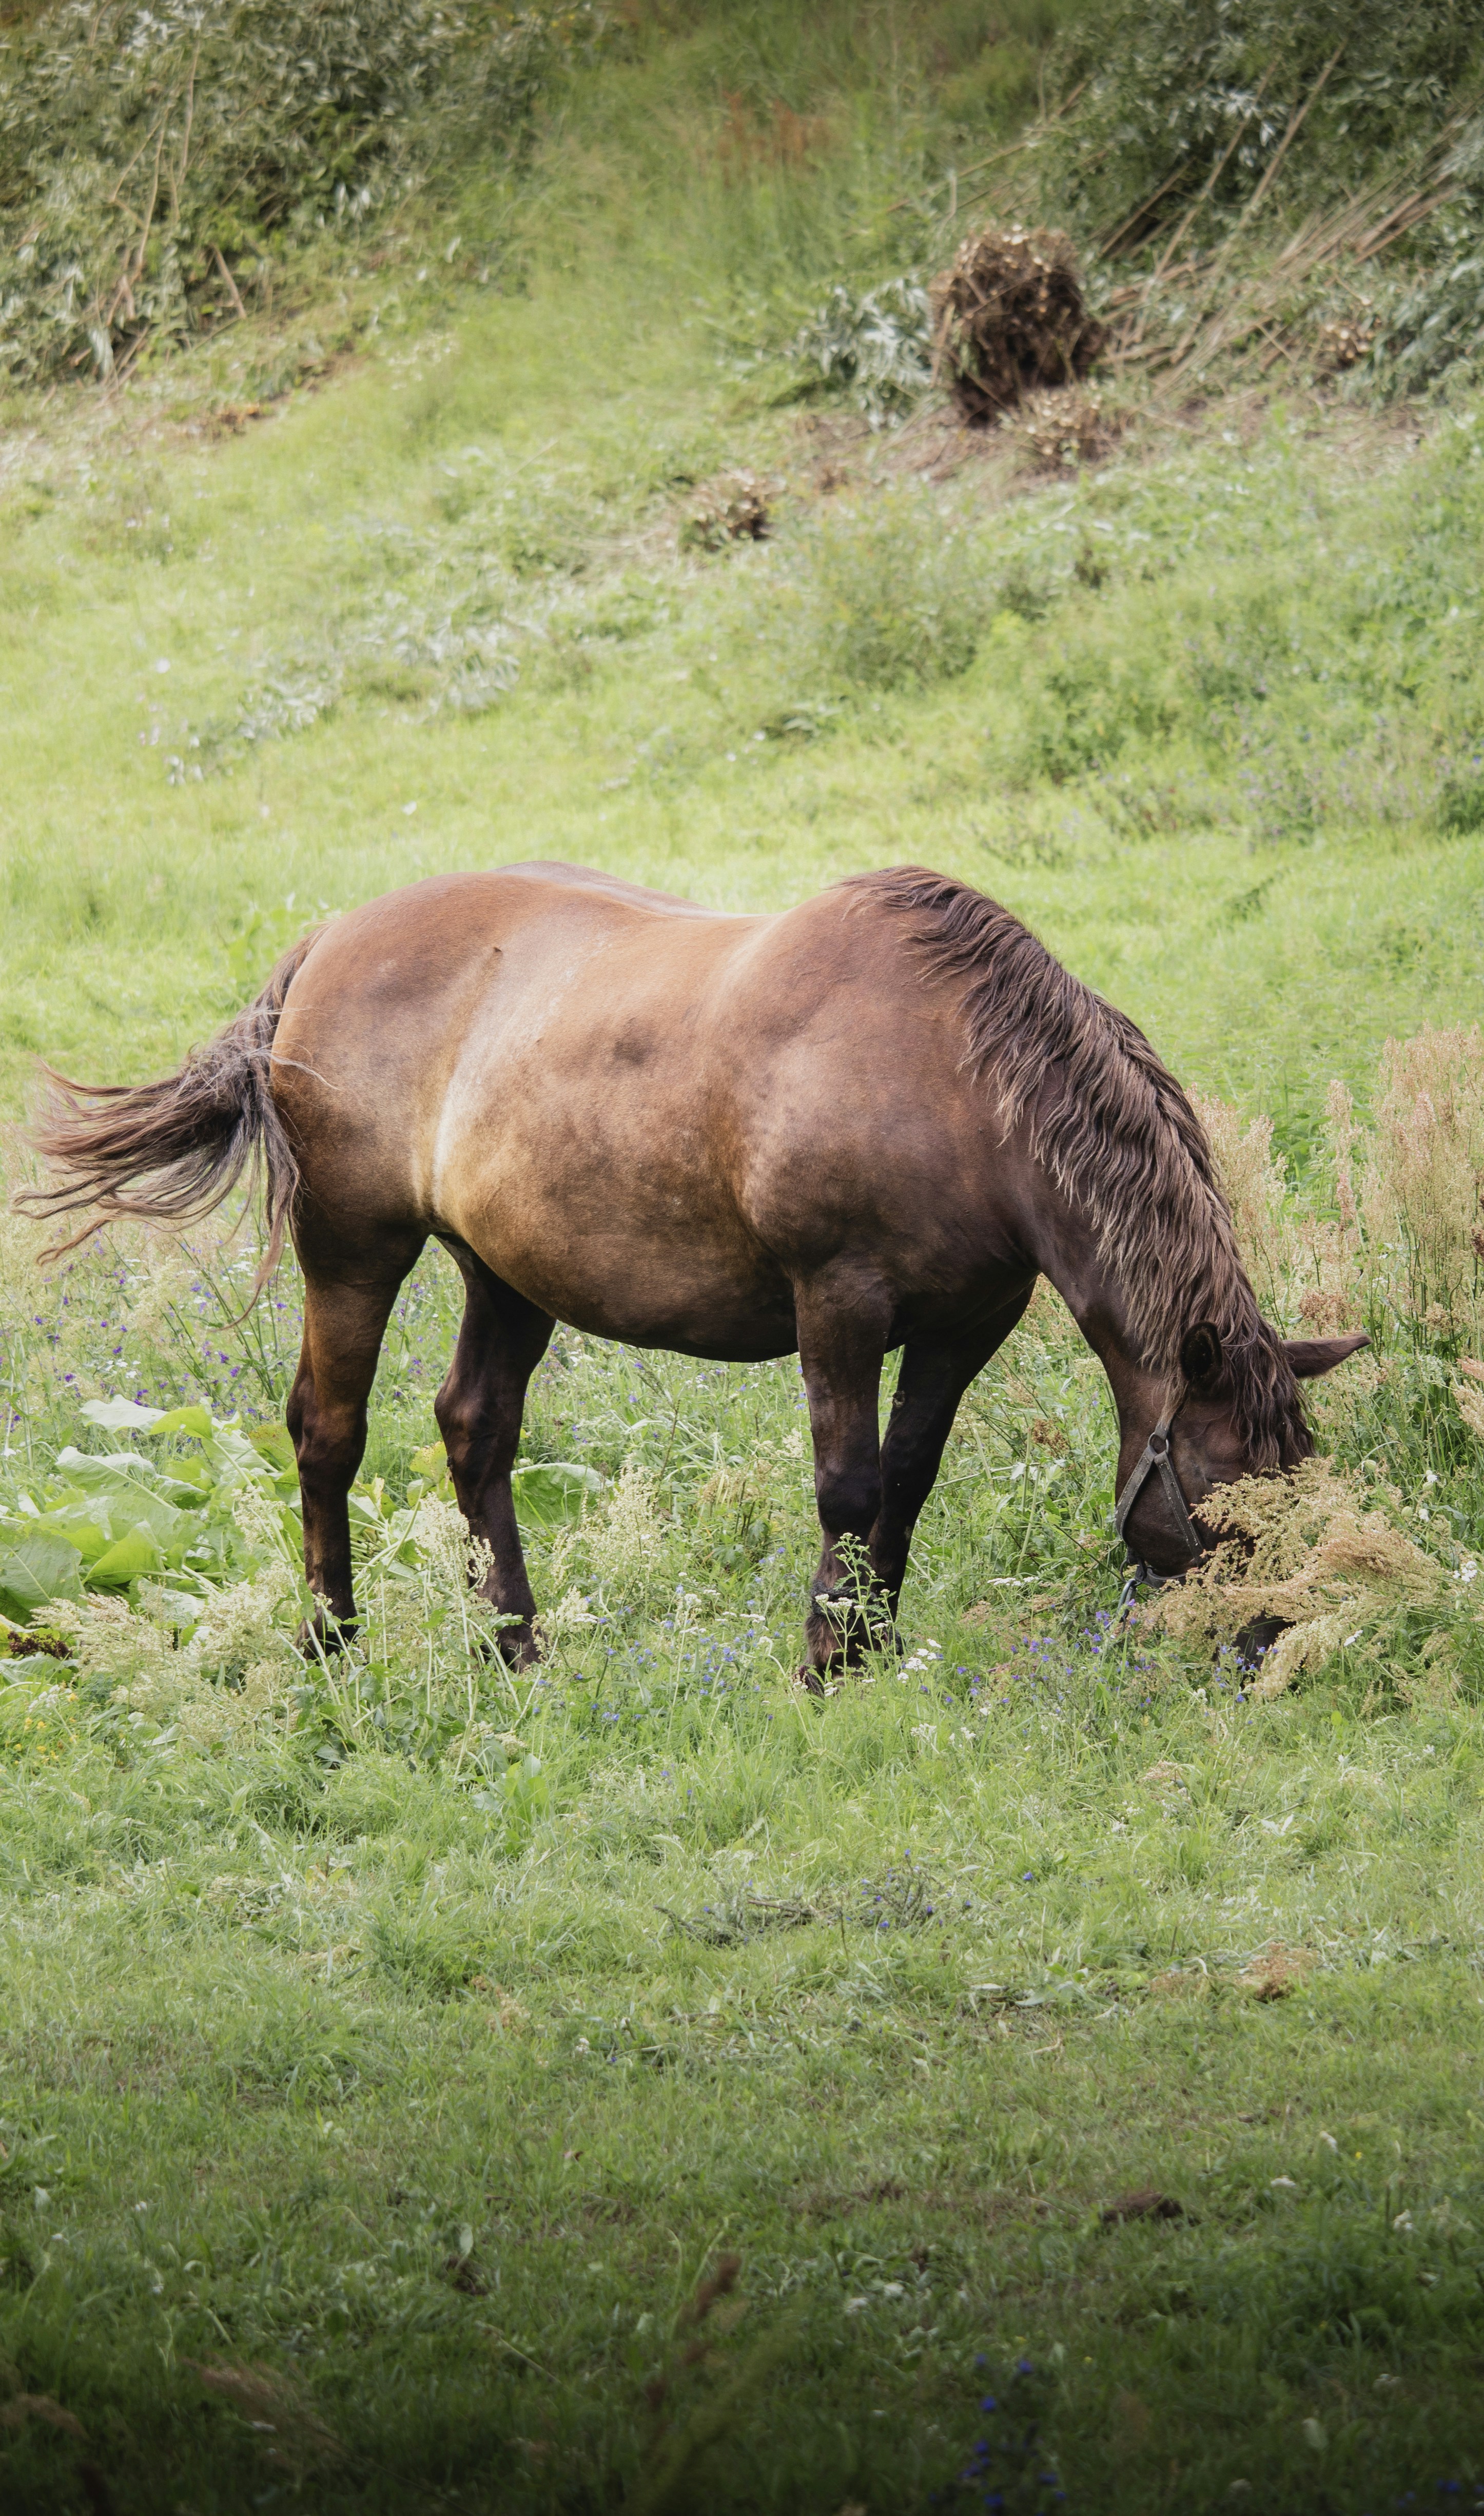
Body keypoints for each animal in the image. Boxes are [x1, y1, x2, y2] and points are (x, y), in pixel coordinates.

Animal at [20, 861, 1366, 1680]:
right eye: (1225, 1493)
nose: (1269, 1647)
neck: (955, 1079)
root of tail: (326, 945)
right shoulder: (840, 1303)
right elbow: (848, 1486)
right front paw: (825, 1666)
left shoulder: (963, 1324)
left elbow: (908, 1482)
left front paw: (874, 1650)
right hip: (354, 1253)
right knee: (327, 1432)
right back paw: (333, 1643)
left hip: (506, 1275)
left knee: (474, 1430)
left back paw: (516, 1646)